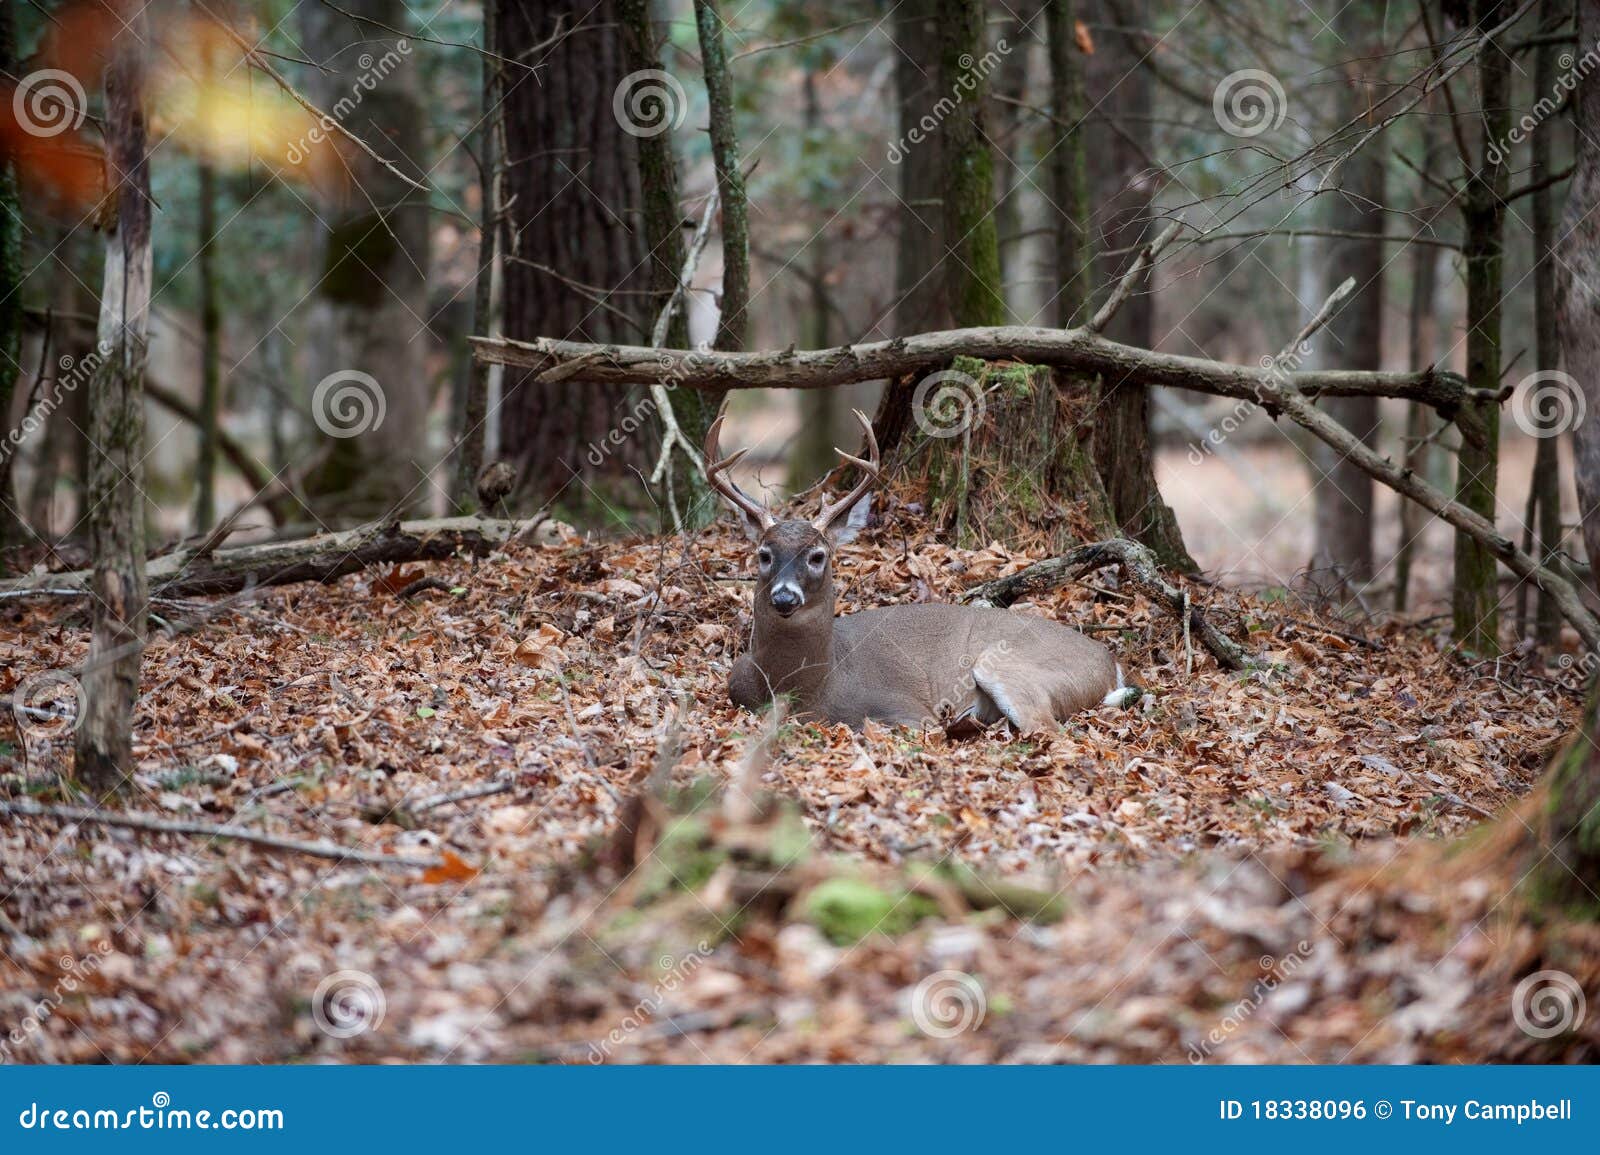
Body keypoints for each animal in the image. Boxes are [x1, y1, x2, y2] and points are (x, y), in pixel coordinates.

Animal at [704, 410, 1129, 733]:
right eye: (764, 554)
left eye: (818, 556)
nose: (785, 596)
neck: (811, 687)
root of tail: (1110, 662)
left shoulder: (903, 706)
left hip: (1008, 665)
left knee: (1046, 728)